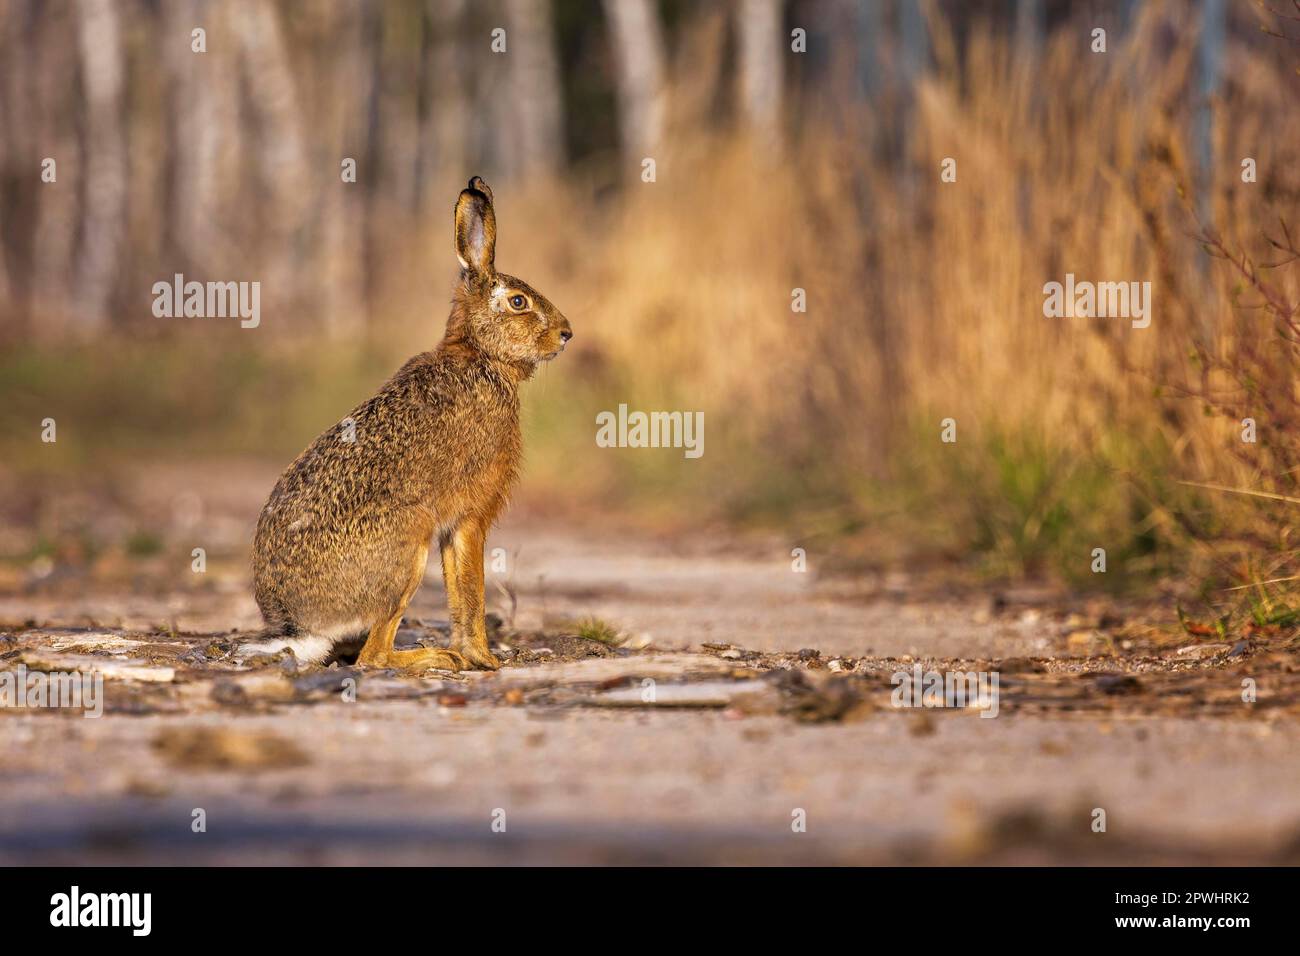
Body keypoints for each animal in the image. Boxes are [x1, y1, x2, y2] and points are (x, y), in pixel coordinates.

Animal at [246, 176, 572, 672]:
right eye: (518, 302)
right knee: (374, 656)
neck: (480, 354)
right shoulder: (471, 515)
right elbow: (472, 590)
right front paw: (484, 659)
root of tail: (302, 626)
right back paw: (435, 657)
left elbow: (458, 591)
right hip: (407, 546)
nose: (567, 333)